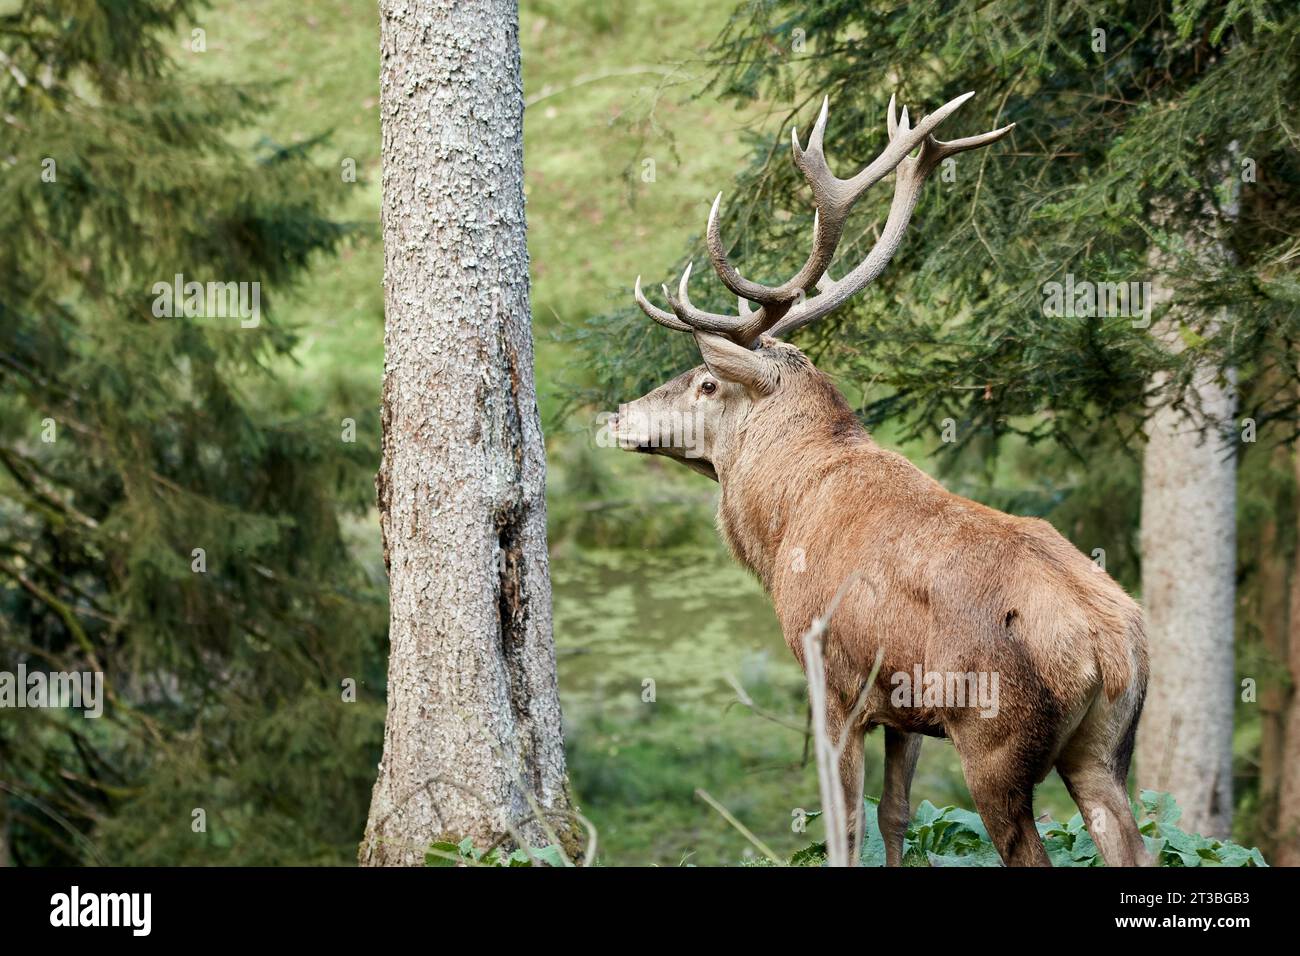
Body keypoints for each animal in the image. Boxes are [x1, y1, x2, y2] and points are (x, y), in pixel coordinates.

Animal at [608, 92, 1150, 867]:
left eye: (707, 383)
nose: (620, 414)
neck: (779, 528)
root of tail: (1112, 647)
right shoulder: (904, 709)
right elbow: (895, 814)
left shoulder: (834, 680)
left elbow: (846, 827)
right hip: (1105, 751)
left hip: (995, 743)